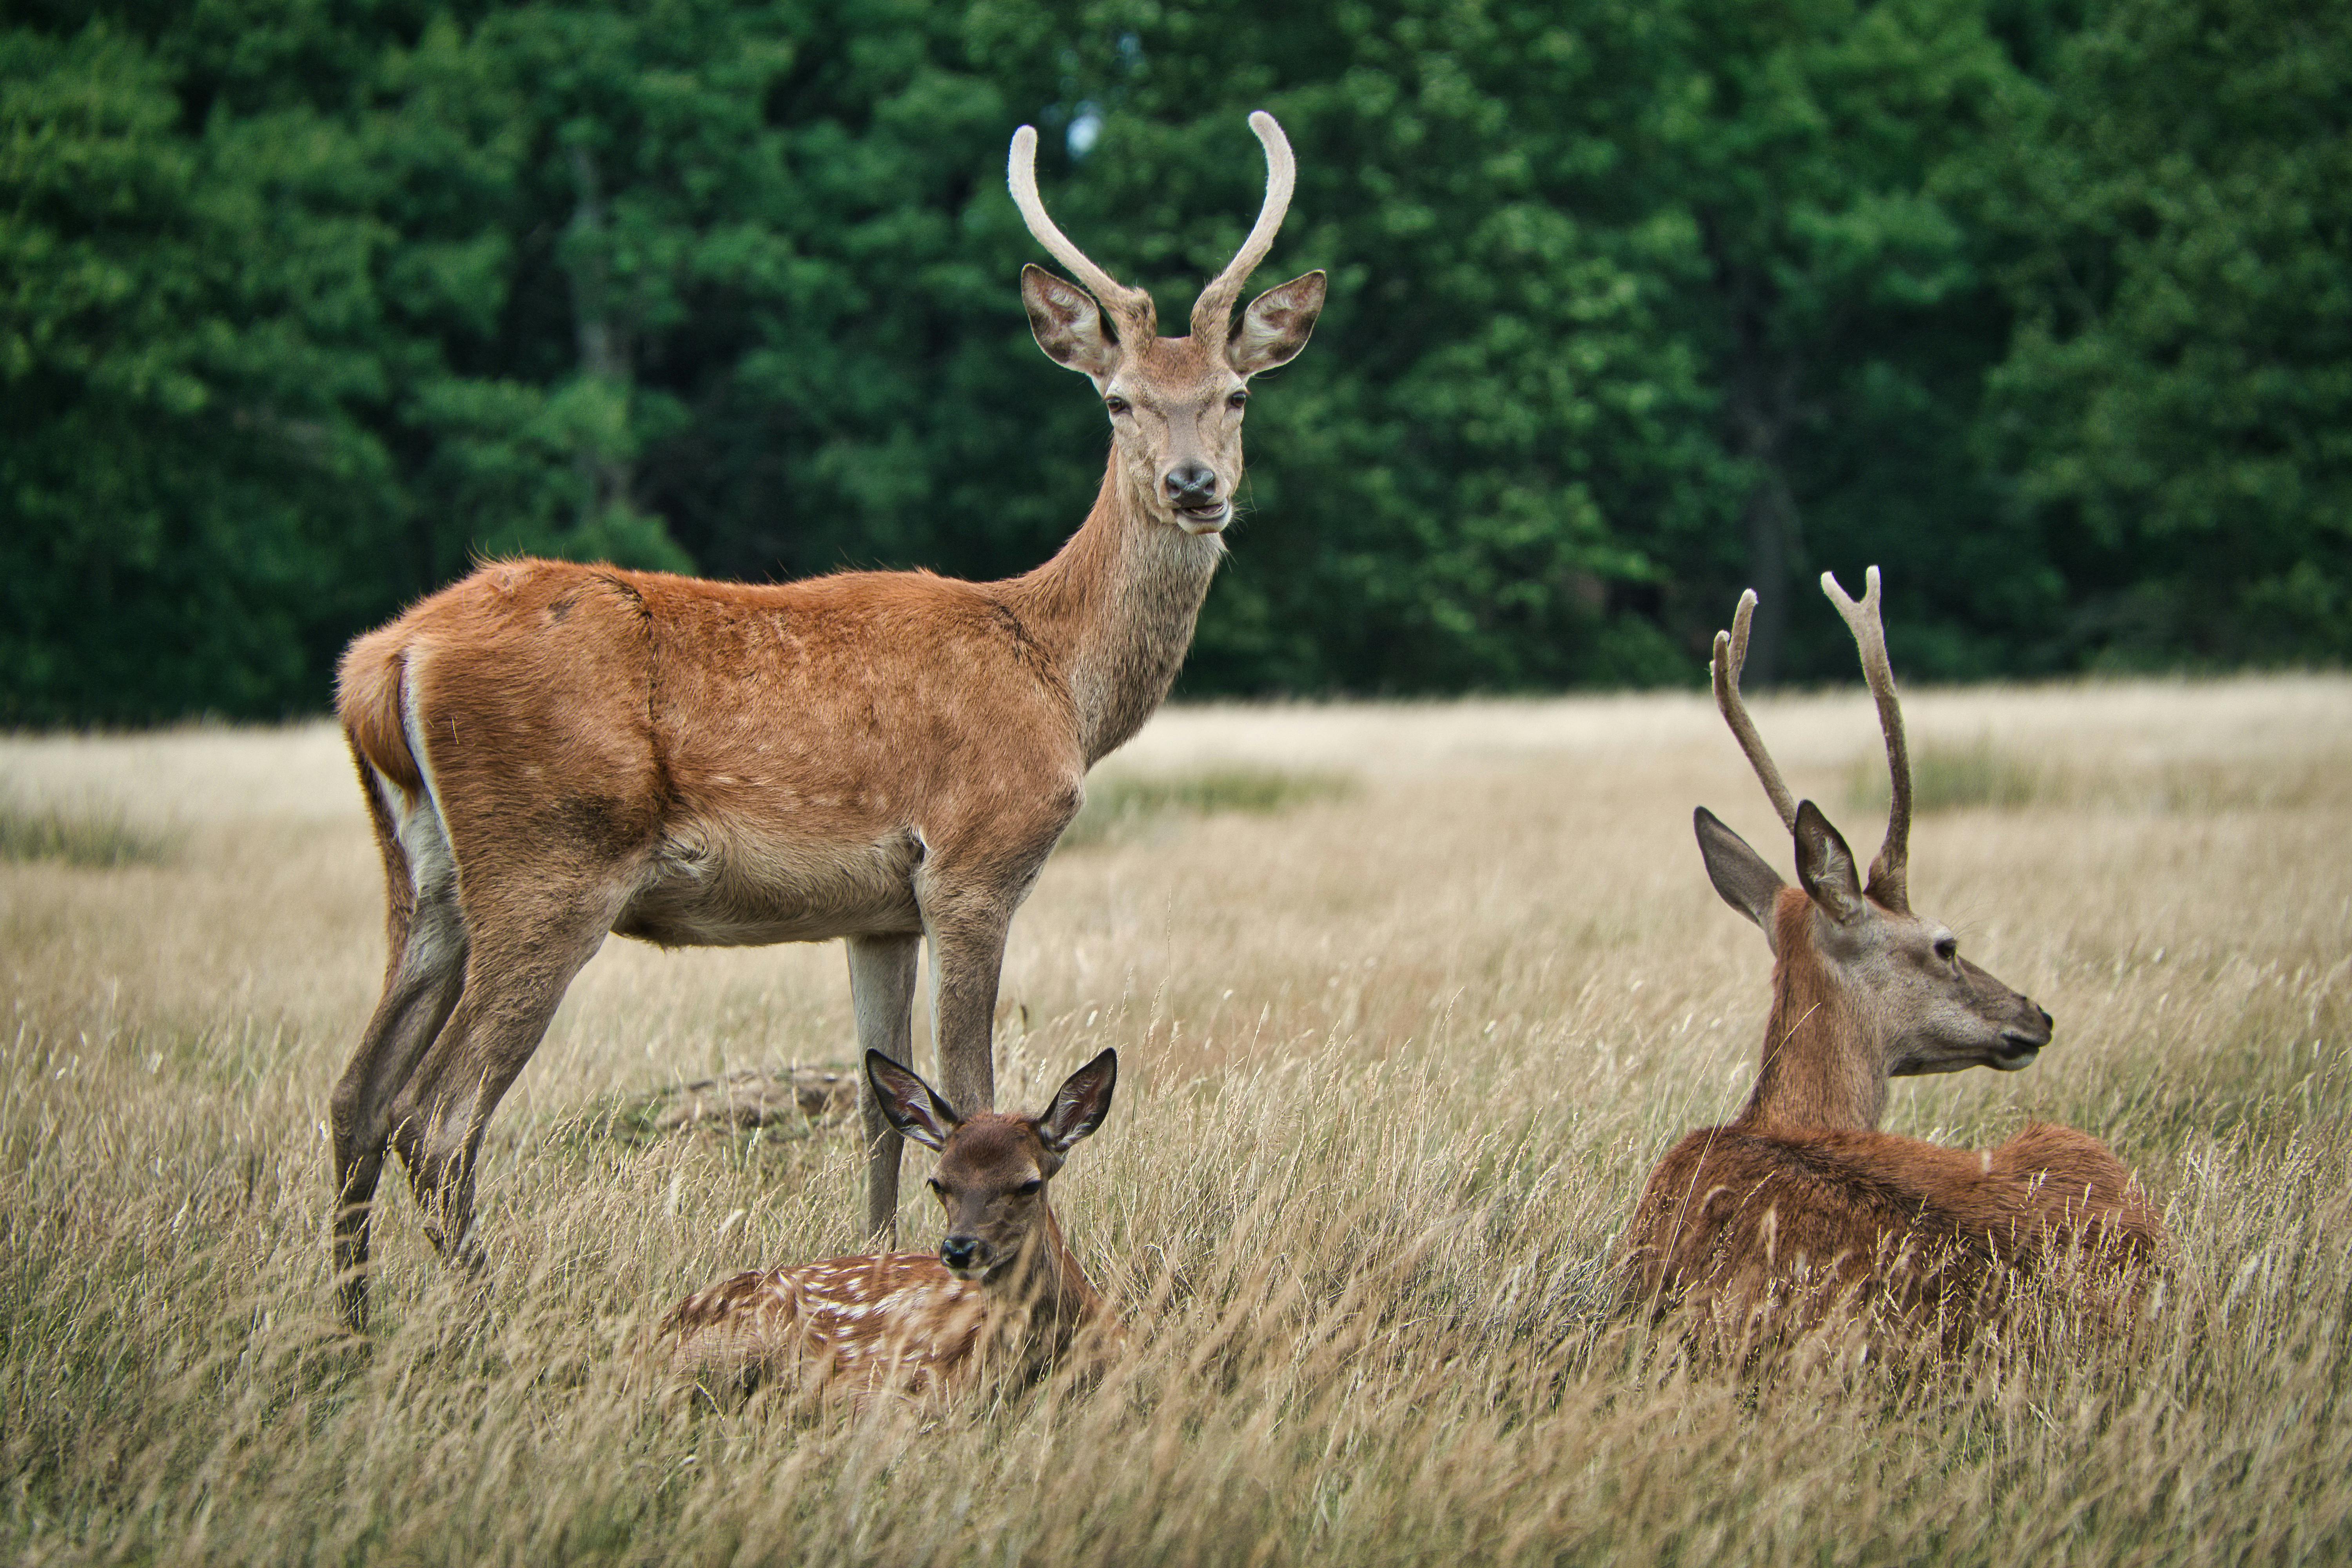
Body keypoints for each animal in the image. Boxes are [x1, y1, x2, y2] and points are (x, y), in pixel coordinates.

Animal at [327, 111, 1325, 1328]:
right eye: (1117, 399)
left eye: (1236, 393)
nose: (1193, 485)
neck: (1060, 678)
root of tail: (388, 659)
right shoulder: (975, 861)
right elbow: (975, 1090)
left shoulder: (879, 910)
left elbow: (884, 1113)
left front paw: (882, 1264)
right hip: (548, 859)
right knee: (437, 1118)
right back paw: (486, 1321)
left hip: (422, 872)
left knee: (355, 1098)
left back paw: (351, 1330)